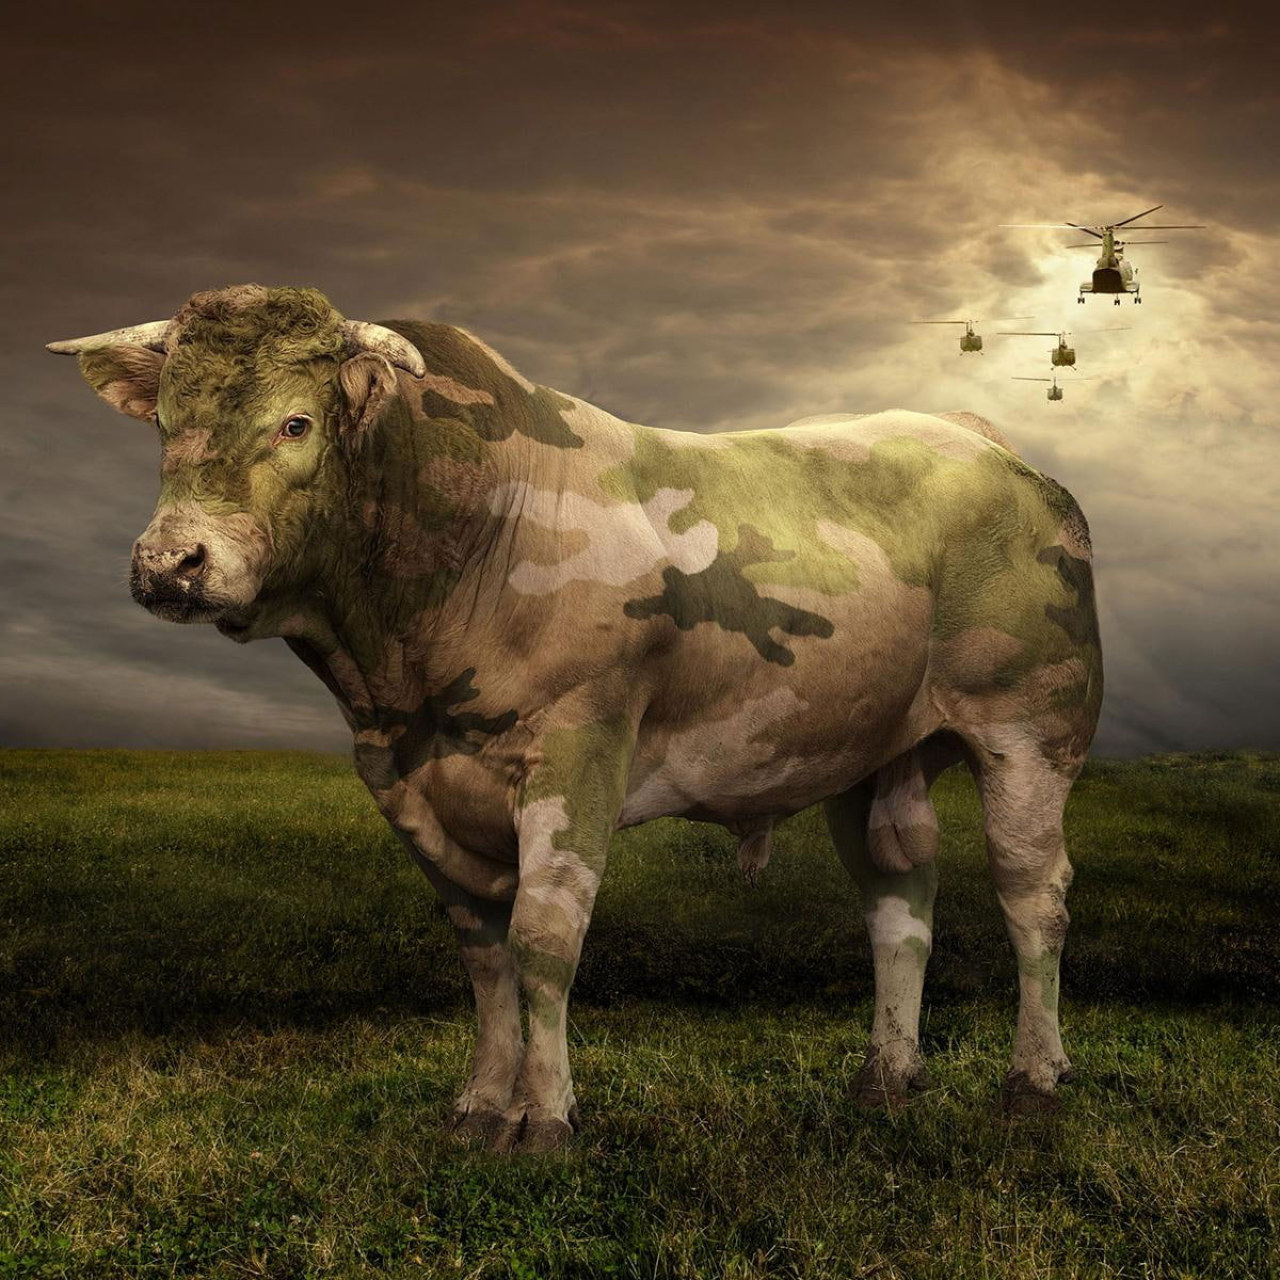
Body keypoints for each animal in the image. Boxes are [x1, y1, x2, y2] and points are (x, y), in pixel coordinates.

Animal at [48, 284, 1102, 1152]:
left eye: (295, 423)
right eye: (166, 423)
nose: (171, 563)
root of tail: (981, 440)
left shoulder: (577, 750)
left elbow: (543, 942)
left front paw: (544, 1116)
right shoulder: (406, 780)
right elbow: (483, 957)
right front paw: (480, 1106)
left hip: (1030, 727)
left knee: (1032, 894)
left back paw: (1035, 1079)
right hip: (874, 753)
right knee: (898, 899)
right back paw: (887, 1076)